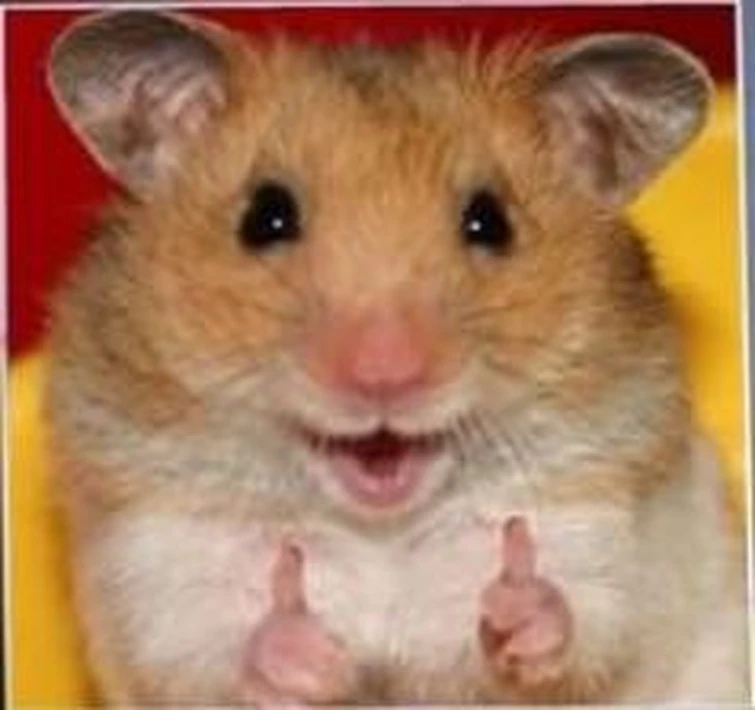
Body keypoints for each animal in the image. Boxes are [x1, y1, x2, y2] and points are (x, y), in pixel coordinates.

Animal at [44, 9, 749, 705]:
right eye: (265, 216)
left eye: (490, 221)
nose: (385, 375)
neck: (379, 529)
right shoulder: (159, 570)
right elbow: (210, 647)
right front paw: (310, 652)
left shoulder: (605, 534)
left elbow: (583, 617)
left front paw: (514, 599)